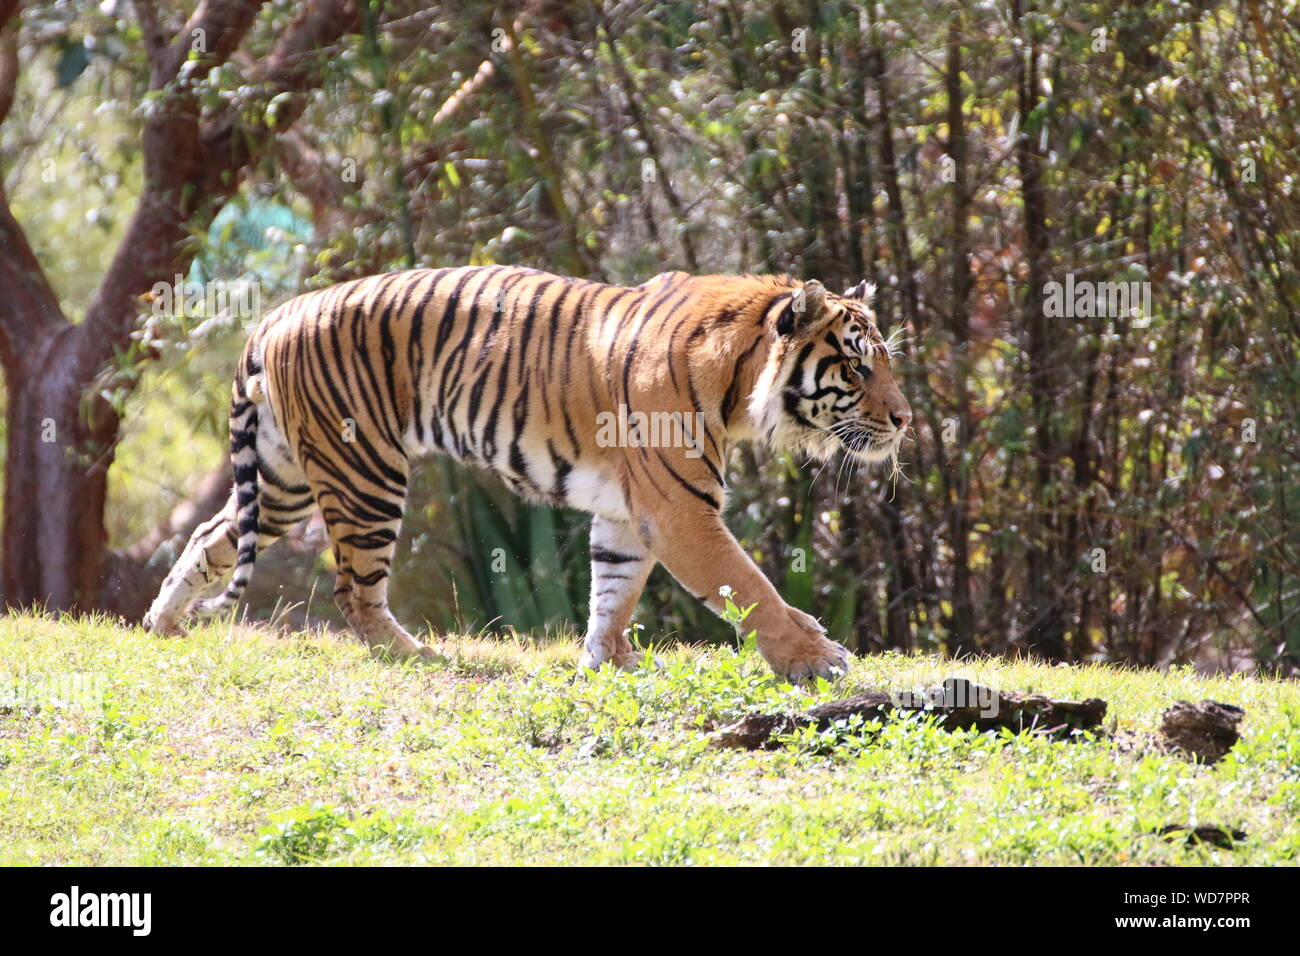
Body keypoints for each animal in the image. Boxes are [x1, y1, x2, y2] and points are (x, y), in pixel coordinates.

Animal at [144, 266, 912, 680]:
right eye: (856, 367)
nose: (905, 419)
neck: (742, 382)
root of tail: (276, 313)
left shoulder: (629, 510)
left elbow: (614, 587)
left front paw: (609, 661)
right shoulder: (680, 510)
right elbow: (751, 589)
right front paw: (815, 657)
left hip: (285, 479)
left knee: (210, 537)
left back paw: (163, 623)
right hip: (363, 476)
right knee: (354, 592)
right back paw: (416, 655)